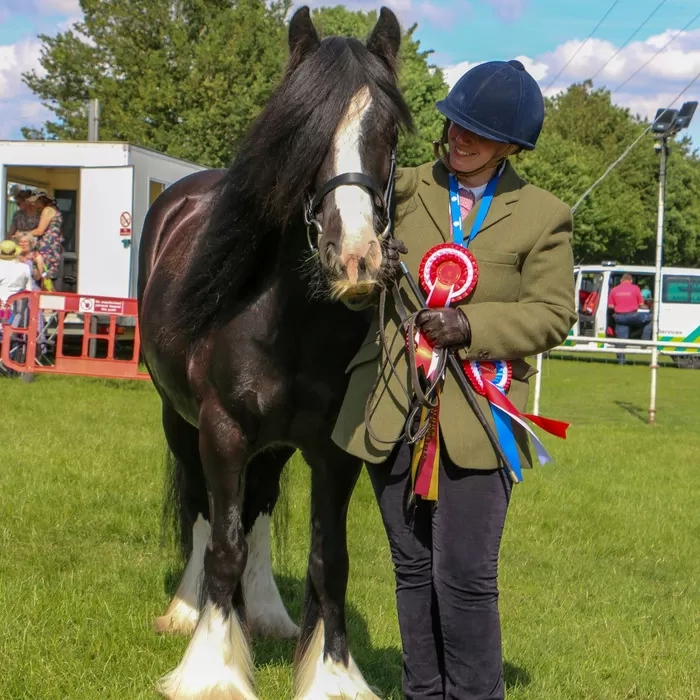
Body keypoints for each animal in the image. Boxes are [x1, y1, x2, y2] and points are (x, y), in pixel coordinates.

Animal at [137, 5, 412, 698]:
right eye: (297, 131)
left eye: (389, 132)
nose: (355, 258)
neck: (288, 327)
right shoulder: (223, 430)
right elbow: (222, 545)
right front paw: (213, 671)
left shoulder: (333, 451)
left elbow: (329, 559)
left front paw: (332, 674)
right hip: (179, 420)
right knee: (205, 511)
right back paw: (189, 612)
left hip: (277, 445)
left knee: (256, 507)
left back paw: (262, 614)